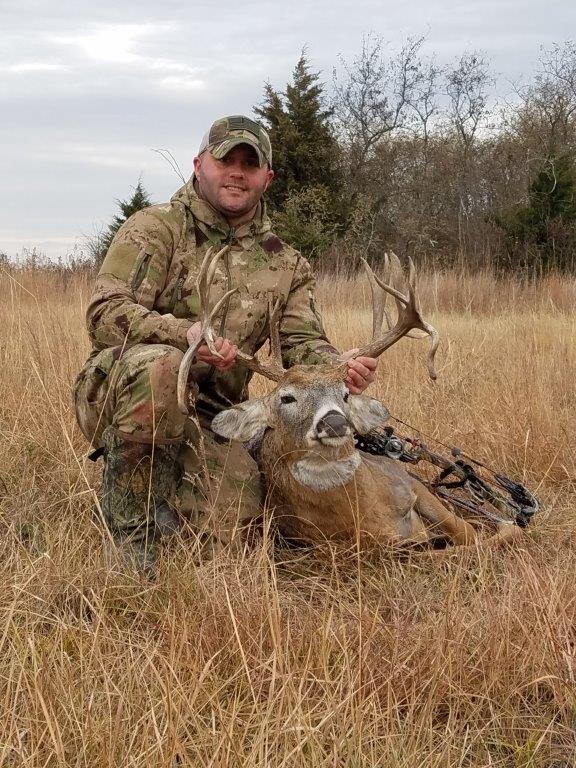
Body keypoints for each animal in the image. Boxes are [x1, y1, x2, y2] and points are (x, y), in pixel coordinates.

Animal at [177, 246, 523, 550]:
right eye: (286, 398)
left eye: (345, 393)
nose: (334, 422)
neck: (365, 515)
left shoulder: (413, 486)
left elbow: (473, 537)